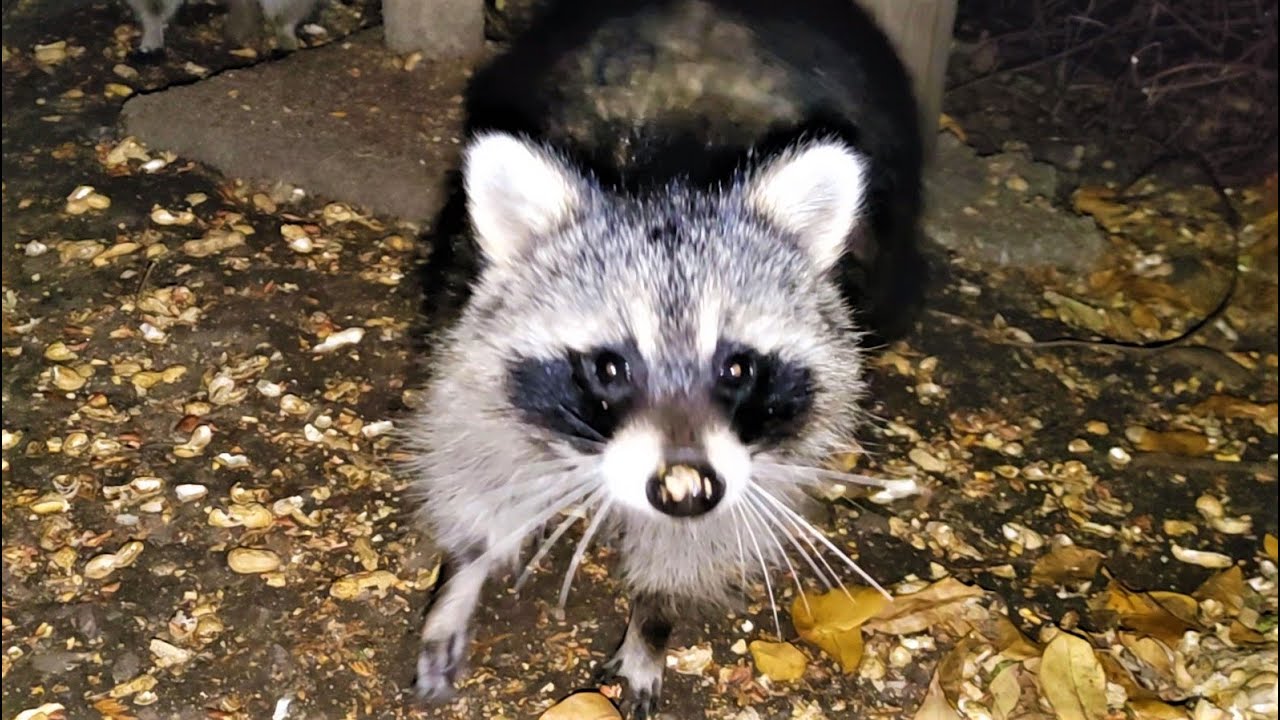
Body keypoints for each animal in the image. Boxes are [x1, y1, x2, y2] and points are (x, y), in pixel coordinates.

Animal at [407, 0, 925, 716]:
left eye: (736, 368)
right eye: (610, 367)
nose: (684, 490)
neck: (668, 172)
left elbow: (707, 535)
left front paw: (653, 620)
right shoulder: (467, 314)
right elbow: (480, 449)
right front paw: (464, 572)